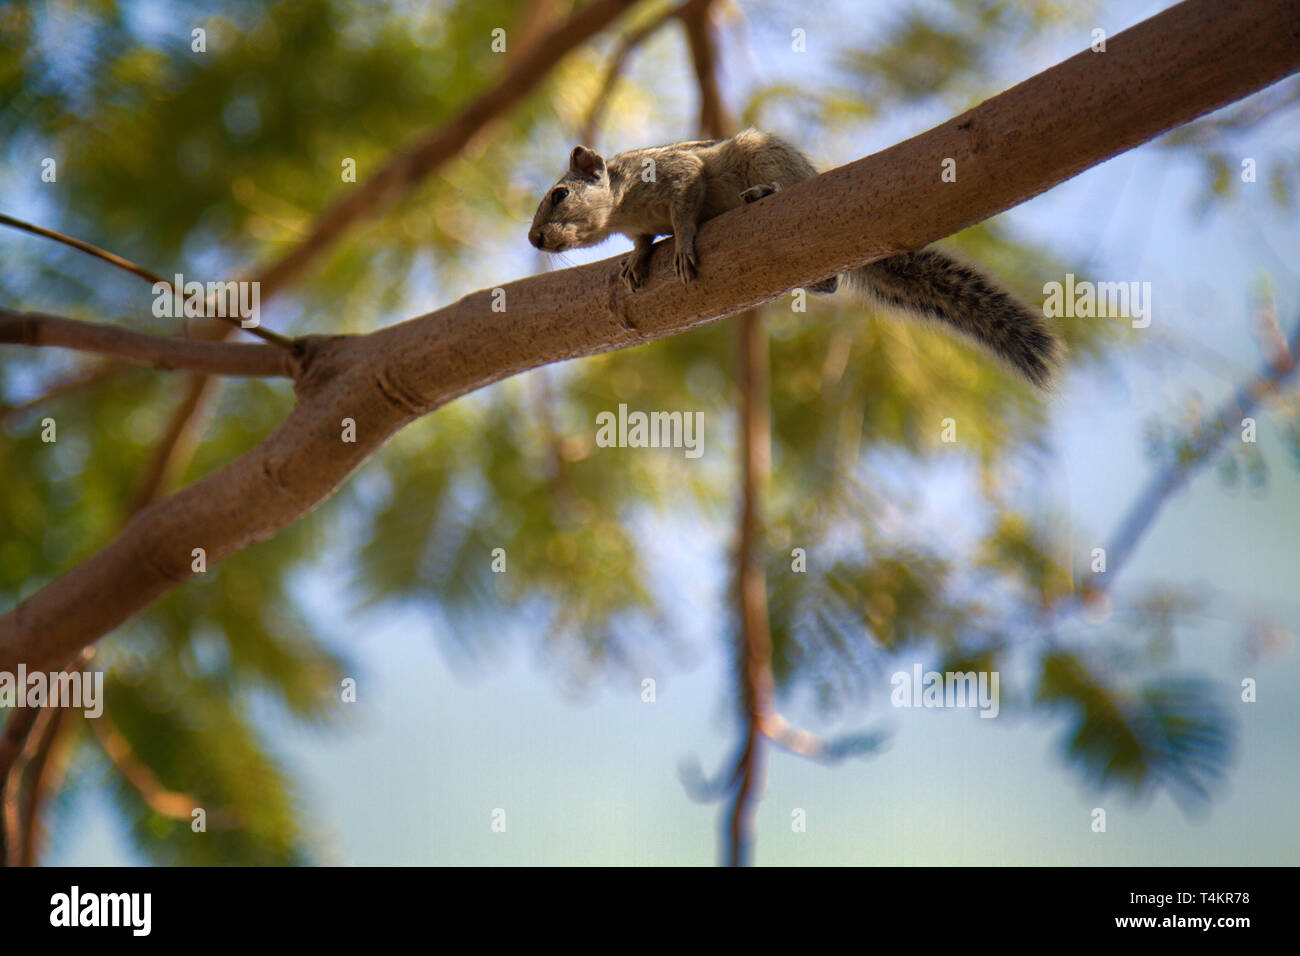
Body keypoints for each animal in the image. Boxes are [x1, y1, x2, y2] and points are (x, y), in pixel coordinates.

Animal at [529, 128, 1058, 388]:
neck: (623, 202)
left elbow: (684, 208)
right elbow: (641, 240)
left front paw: (681, 244)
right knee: (829, 283)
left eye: (559, 194)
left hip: (761, 157)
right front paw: (635, 262)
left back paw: (765, 193)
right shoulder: (638, 223)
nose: (533, 239)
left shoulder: (678, 174)